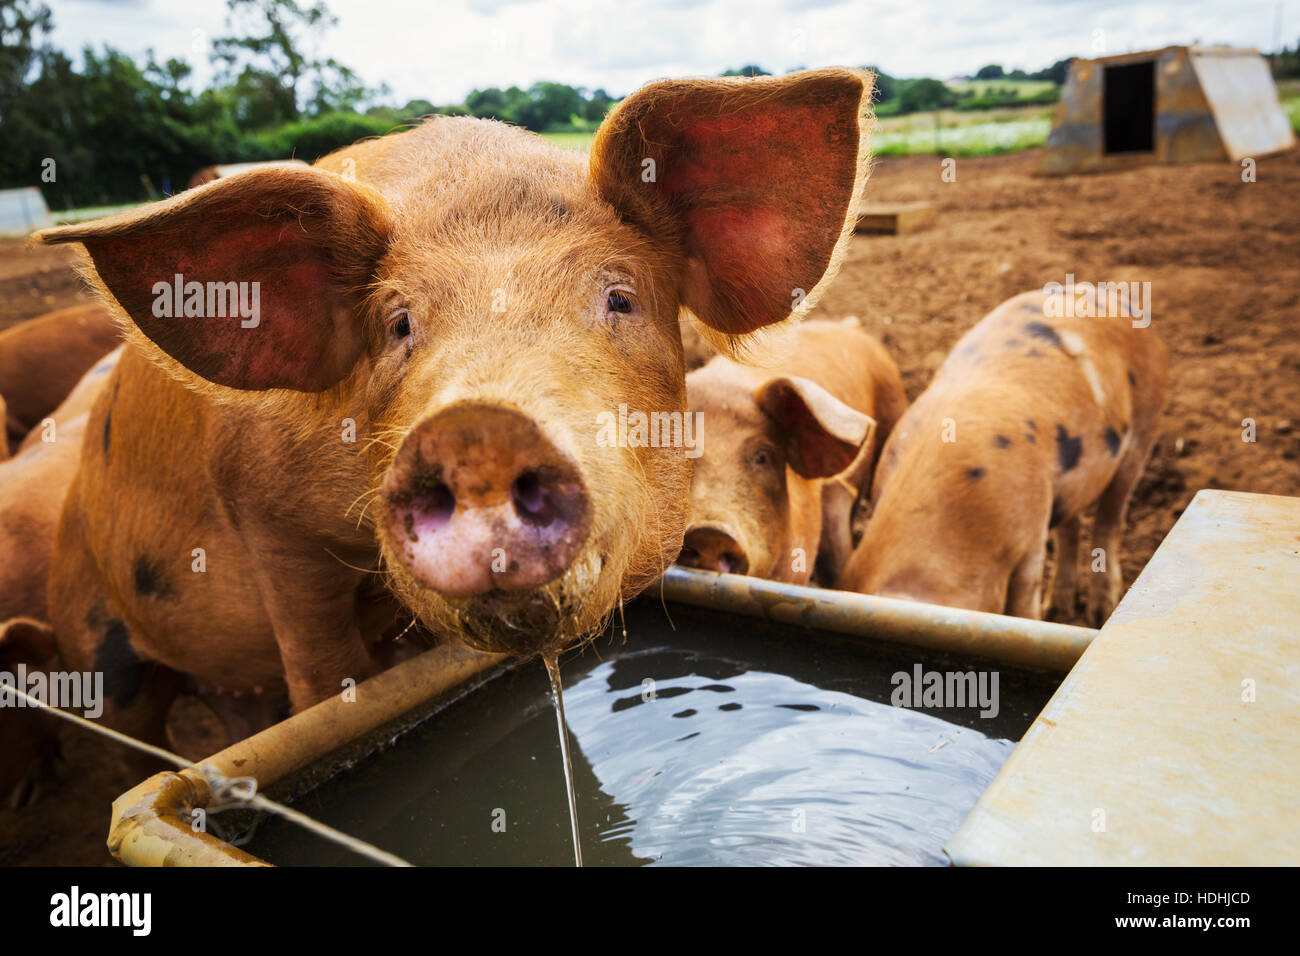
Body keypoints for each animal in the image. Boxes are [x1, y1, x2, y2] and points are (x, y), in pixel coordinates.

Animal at [32, 70, 874, 747]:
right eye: (398, 324)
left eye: (620, 298)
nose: (480, 430)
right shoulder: (264, 520)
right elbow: (322, 684)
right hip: (94, 642)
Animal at [837, 290, 1167, 624]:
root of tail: (1111, 296)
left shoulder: (1032, 535)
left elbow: (1023, 603)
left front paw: (1035, 620)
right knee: (1071, 526)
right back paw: (1058, 610)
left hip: (1145, 426)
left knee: (1110, 518)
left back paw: (1099, 614)